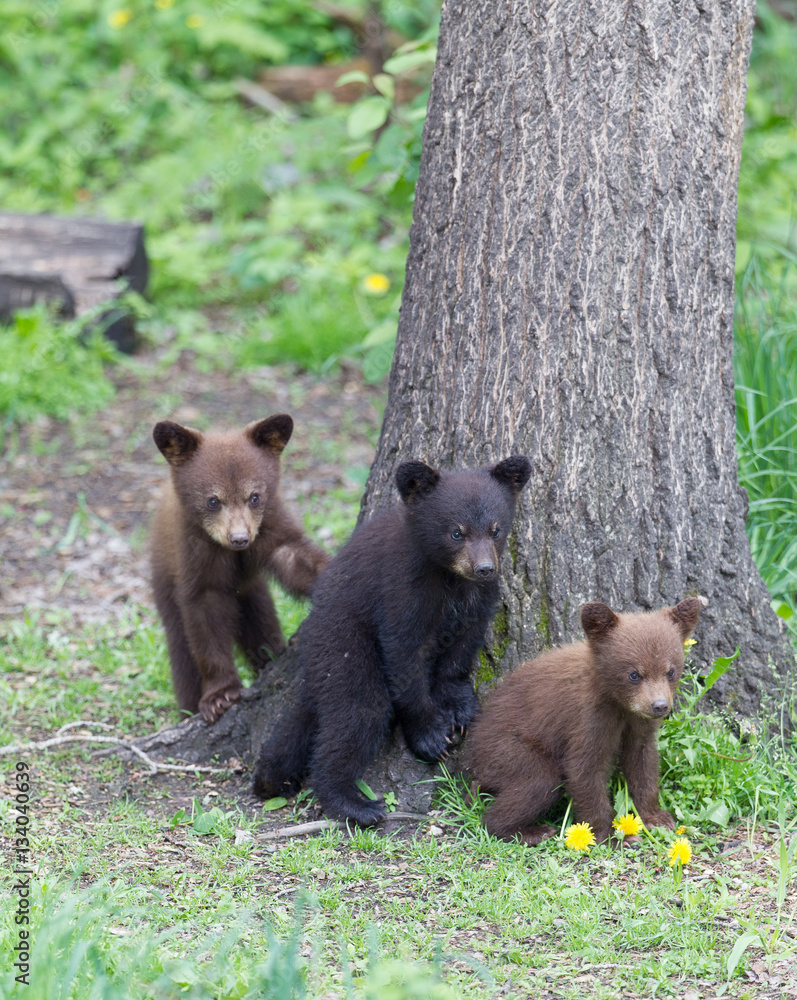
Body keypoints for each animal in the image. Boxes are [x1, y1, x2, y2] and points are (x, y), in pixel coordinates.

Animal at [150, 414, 329, 724]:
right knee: (180, 650)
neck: (233, 554)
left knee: (262, 626)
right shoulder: (195, 552)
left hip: (252, 592)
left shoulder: (270, 523)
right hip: (163, 580)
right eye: (212, 500)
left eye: (254, 496)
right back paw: (187, 710)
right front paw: (219, 696)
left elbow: (293, 555)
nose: (239, 539)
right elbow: (204, 615)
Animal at [252, 454, 532, 825]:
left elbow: (463, 645)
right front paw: (430, 736)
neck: (450, 579)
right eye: (456, 532)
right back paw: (354, 804)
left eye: (495, 529)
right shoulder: (402, 588)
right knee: (359, 714)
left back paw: (271, 777)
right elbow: (404, 657)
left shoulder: (479, 597)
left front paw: (460, 705)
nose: (484, 567)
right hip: (343, 644)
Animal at [466, 597, 702, 846]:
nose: (659, 706)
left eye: (670, 671)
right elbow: (585, 769)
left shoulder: (638, 722)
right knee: (537, 782)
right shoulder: (587, 718)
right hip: (505, 750)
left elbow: (642, 761)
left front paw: (655, 817)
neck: (618, 702)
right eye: (634, 674)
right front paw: (612, 836)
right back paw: (531, 831)